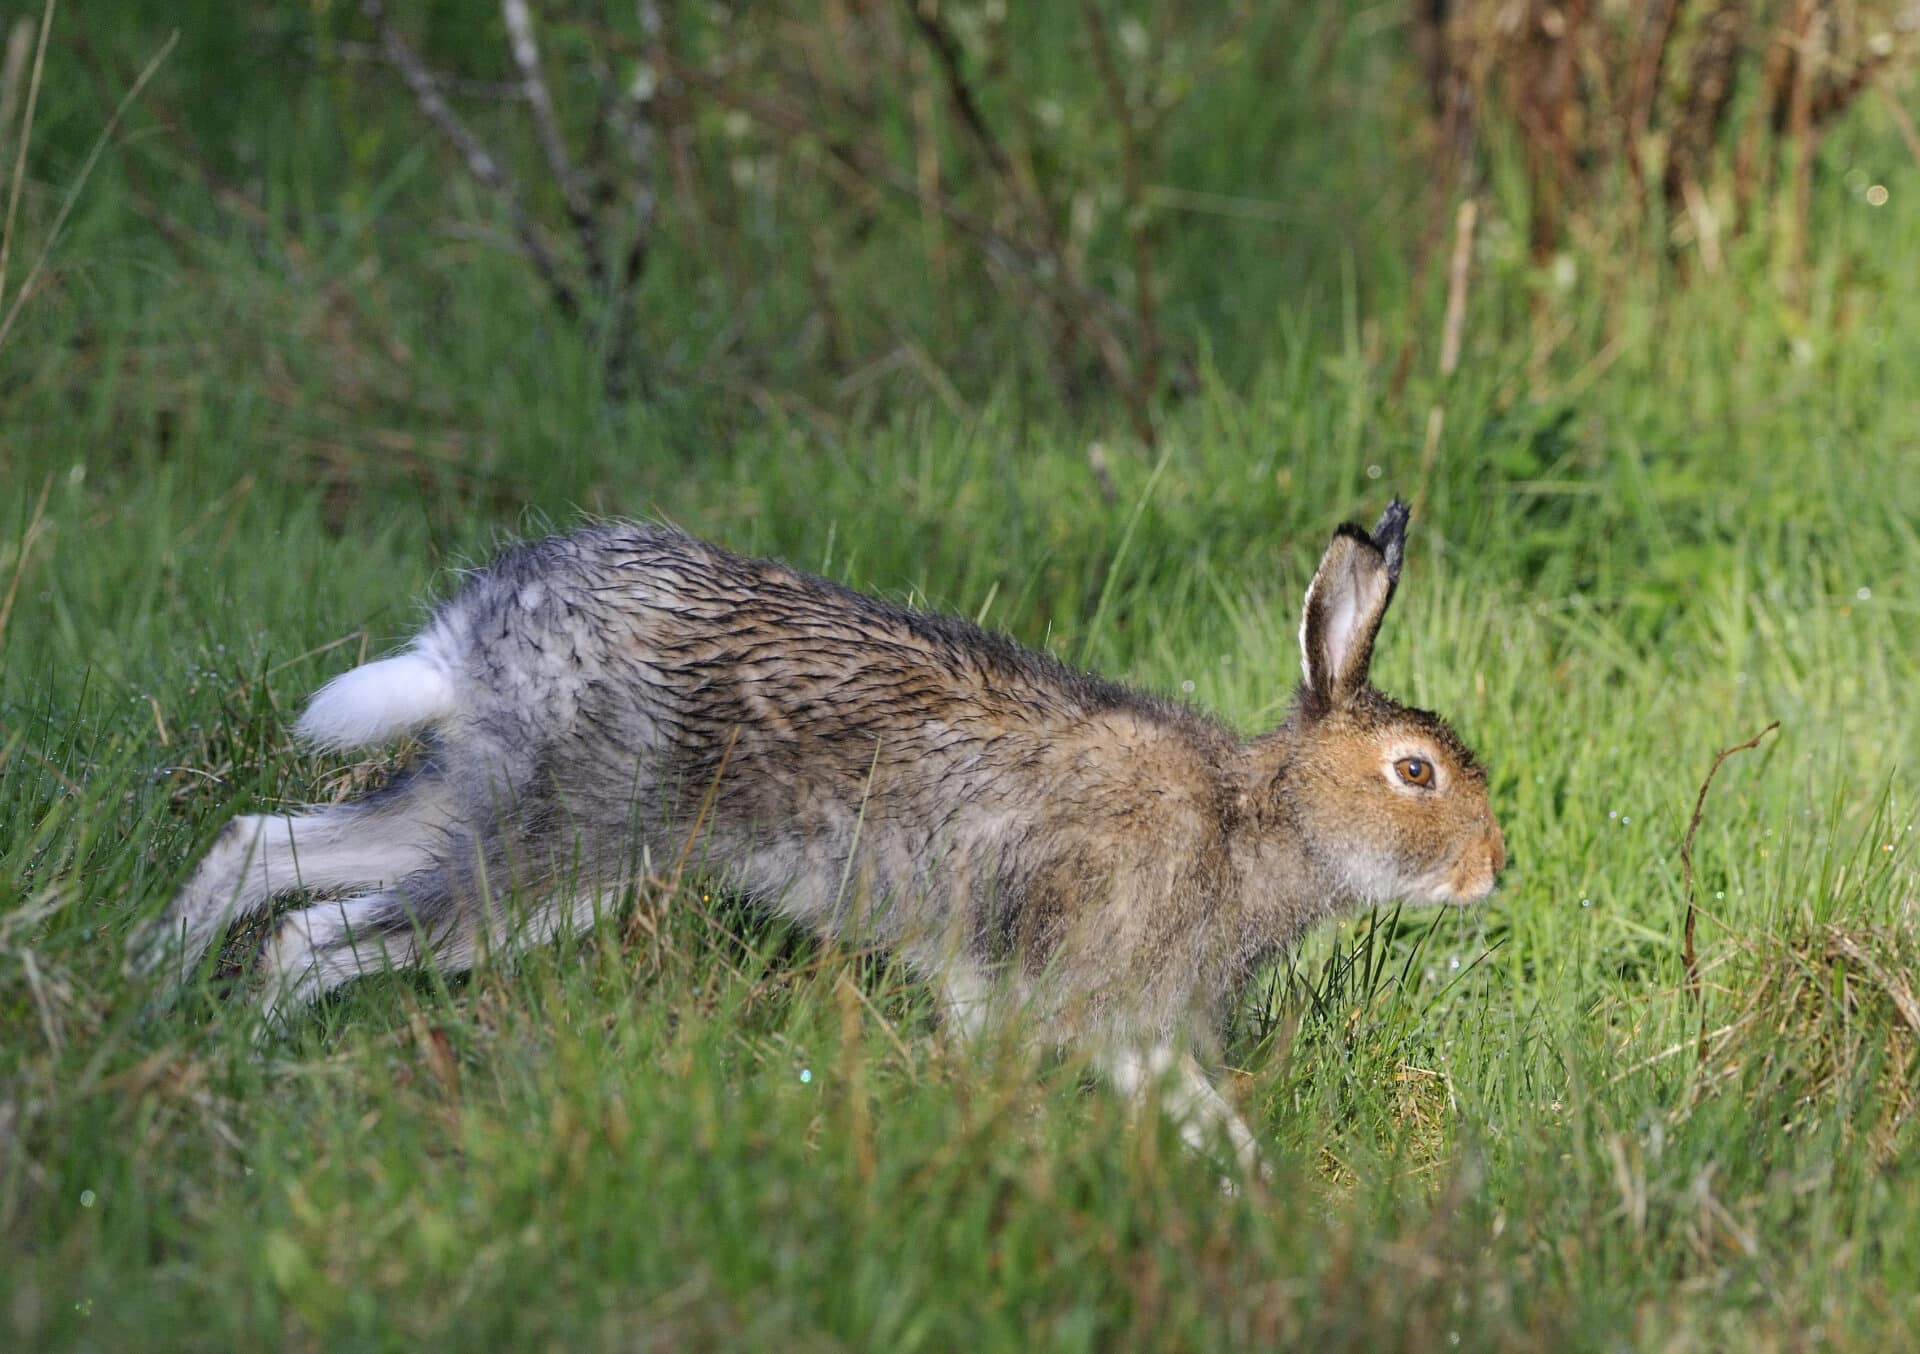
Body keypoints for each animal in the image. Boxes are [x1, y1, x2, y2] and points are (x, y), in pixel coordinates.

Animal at [129, 499, 1504, 1173]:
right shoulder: (1056, 988)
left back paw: (159, 990)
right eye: (1416, 771)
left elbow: (1208, 1124)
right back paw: (242, 1054)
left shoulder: (1125, 1028)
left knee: (259, 848)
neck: (1247, 815)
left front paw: (1260, 1205)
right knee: (315, 935)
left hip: (476, 801)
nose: (1498, 871)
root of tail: (479, 636)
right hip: (549, 851)